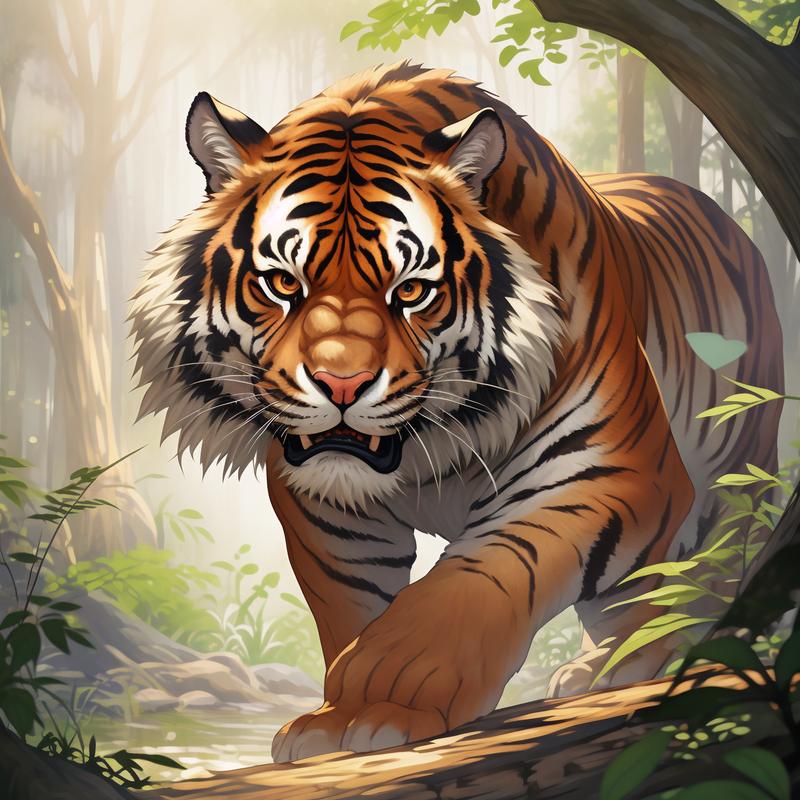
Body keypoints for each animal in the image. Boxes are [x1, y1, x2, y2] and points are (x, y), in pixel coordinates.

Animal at [130, 62, 783, 761]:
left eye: (412, 289)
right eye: (283, 282)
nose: (341, 383)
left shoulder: (603, 471)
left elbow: (480, 576)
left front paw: (390, 688)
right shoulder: (328, 513)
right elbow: (352, 604)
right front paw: (337, 713)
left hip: (736, 474)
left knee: (697, 576)